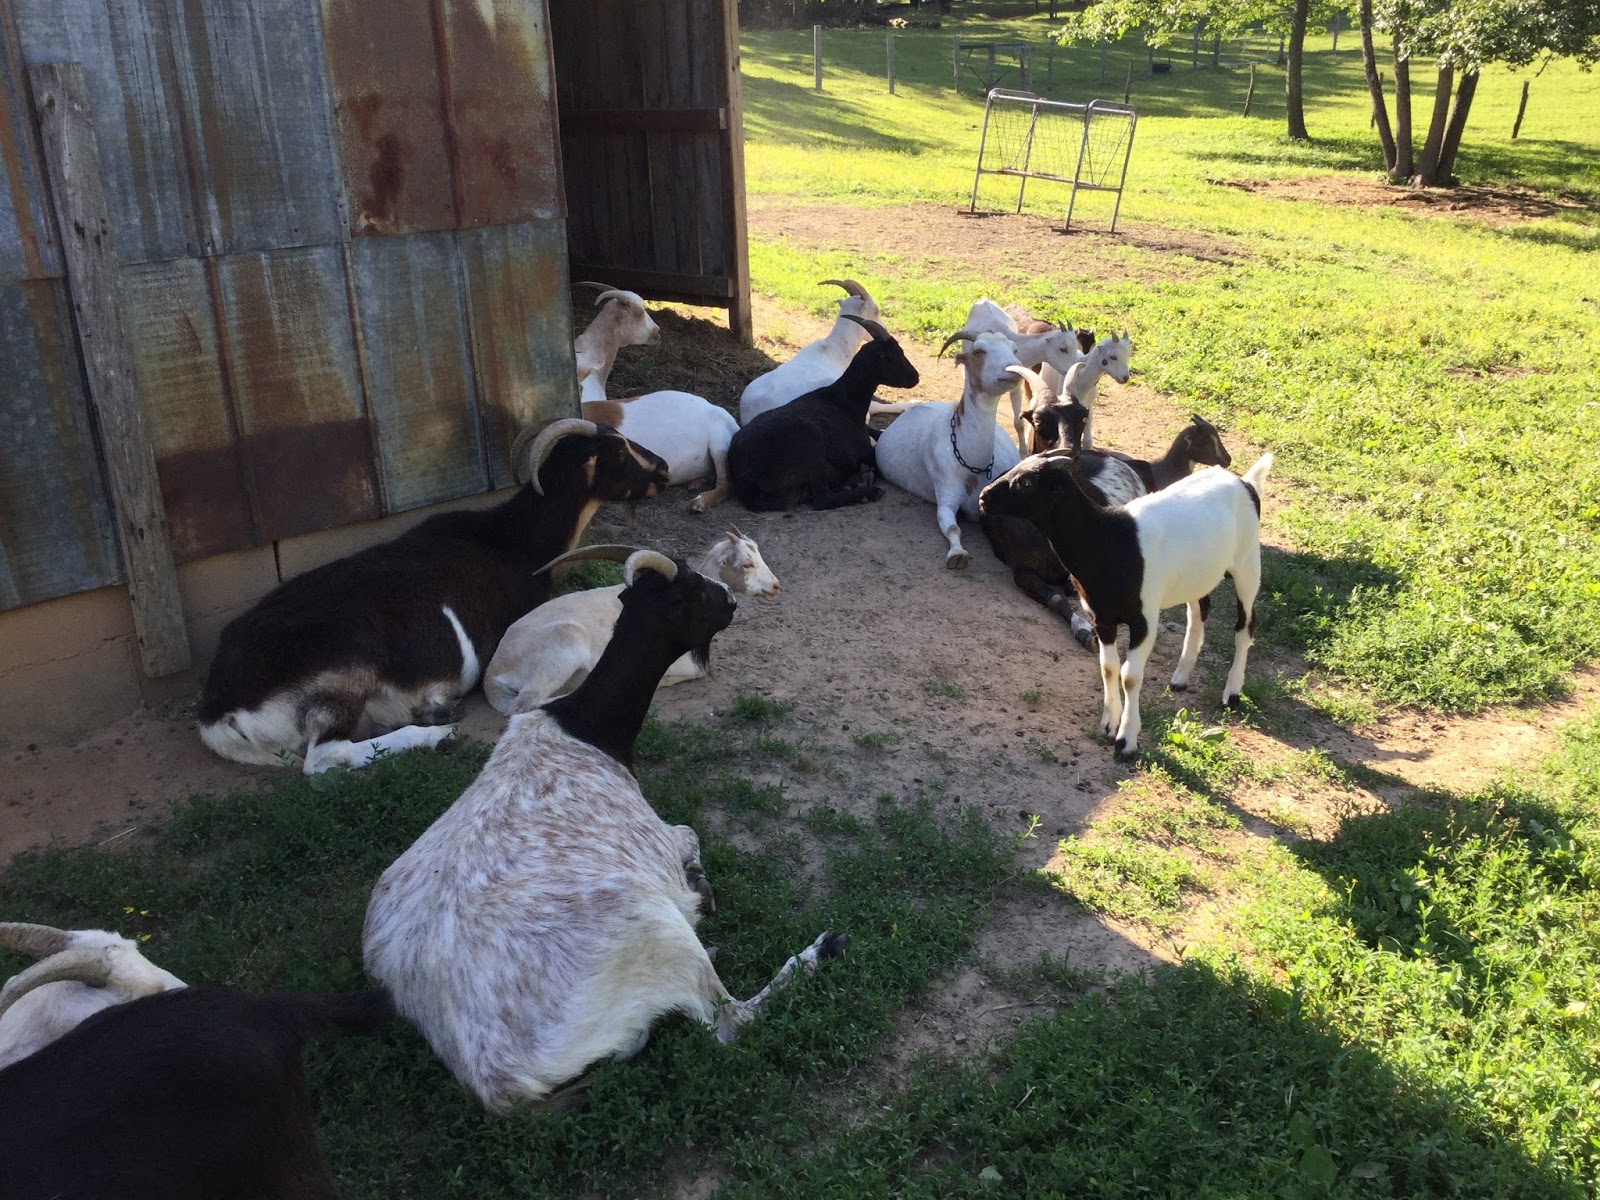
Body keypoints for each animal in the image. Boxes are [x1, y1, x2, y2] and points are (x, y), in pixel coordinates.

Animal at [198, 419, 670, 774]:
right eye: (618, 450)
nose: (664, 470)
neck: (513, 540)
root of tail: (220, 710)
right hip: (343, 674)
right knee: (326, 756)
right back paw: (438, 734)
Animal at [728, 315, 919, 511]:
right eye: (895, 355)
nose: (915, 377)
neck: (844, 400)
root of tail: (749, 485)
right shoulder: (862, 450)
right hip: (811, 455)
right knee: (822, 499)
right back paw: (868, 491)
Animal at [873, 331, 1025, 569]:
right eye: (978, 351)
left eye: (1014, 349)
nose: (1014, 368)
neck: (973, 464)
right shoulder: (946, 493)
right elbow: (952, 527)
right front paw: (957, 554)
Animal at [980, 451, 1273, 758]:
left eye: (1026, 483)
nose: (983, 497)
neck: (1109, 542)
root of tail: (1245, 482)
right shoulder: (1102, 617)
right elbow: (1108, 667)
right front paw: (1110, 724)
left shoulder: (1144, 619)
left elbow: (1130, 676)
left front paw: (1126, 741)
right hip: (1198, 573)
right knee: (1199, 611)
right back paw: (1181, 677)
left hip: (1247, 564)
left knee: (1246, 625)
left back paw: (1232, 693)